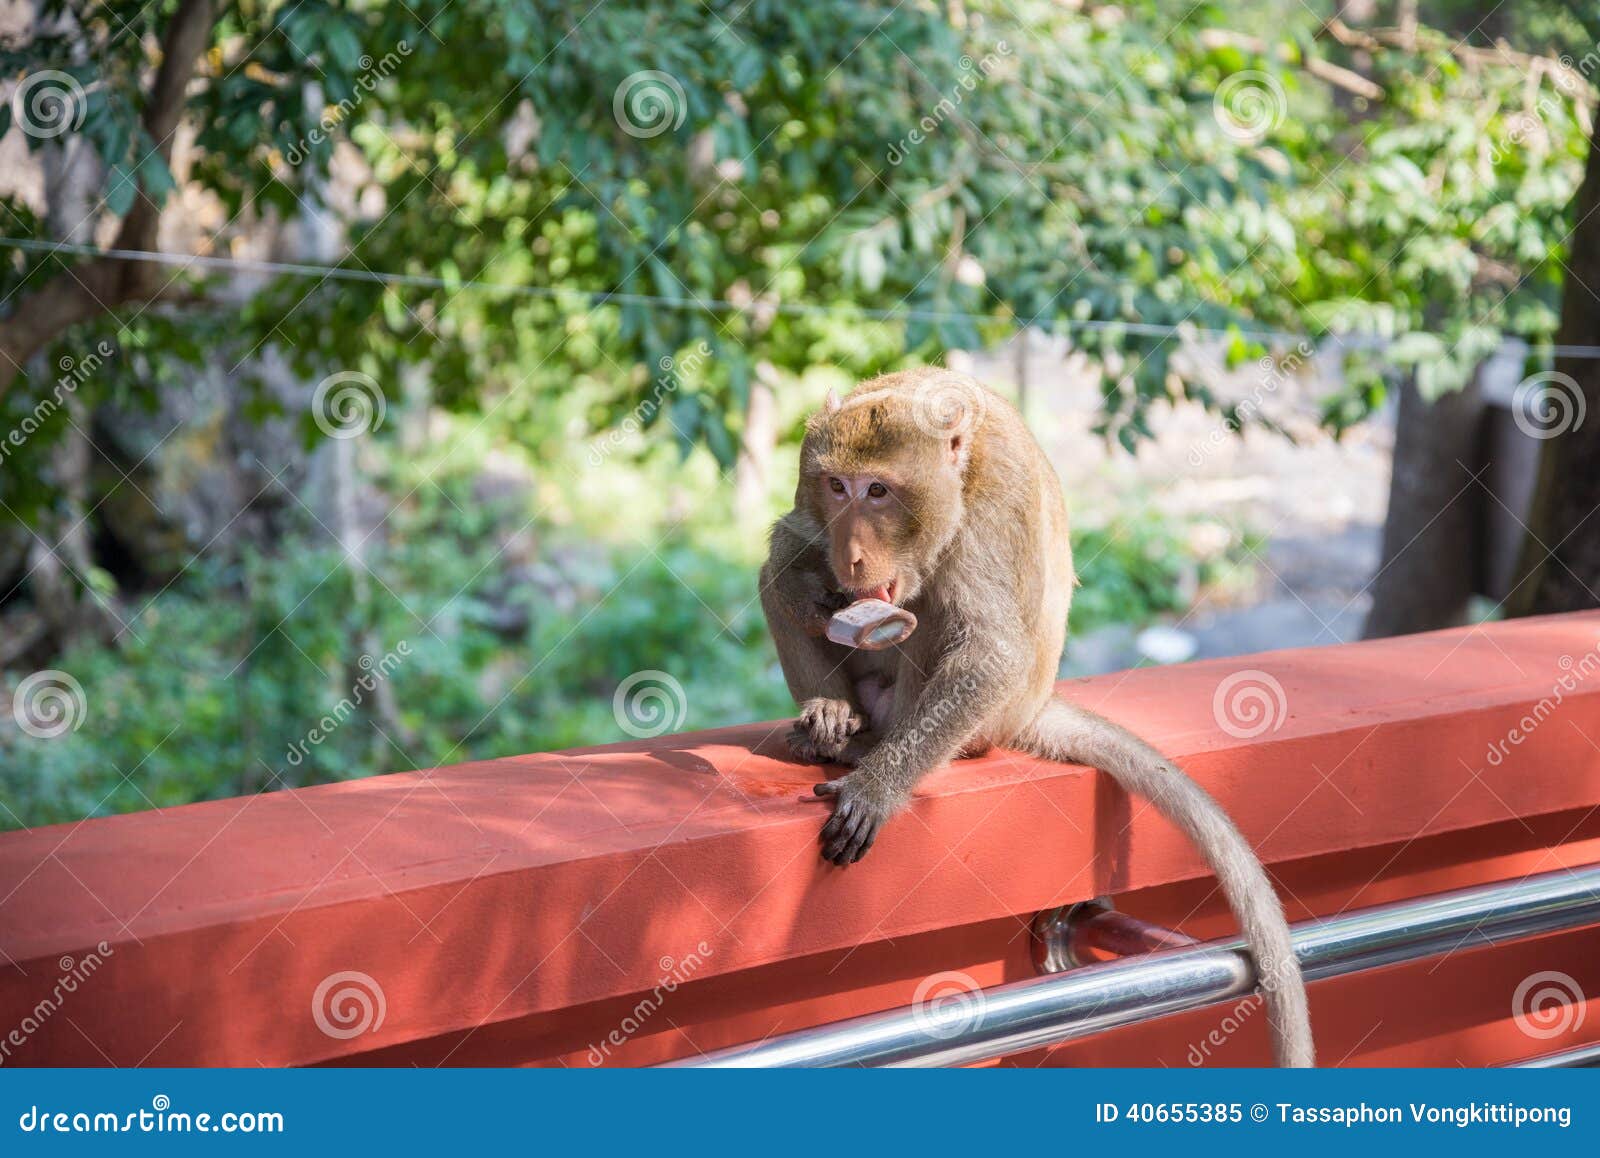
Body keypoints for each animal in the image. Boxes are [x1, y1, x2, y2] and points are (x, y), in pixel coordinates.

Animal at [757, 367, 1315, 1068]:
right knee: (780, 567)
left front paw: (879, 788)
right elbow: (786, 546)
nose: (851, 558)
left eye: (878, 491)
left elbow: (990, 649)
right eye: (837, 486)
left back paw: (879, 749)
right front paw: (807, 592)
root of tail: (1034, 706)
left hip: (987, 712)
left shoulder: (989, 507)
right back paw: (829, 718)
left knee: (948, 613)